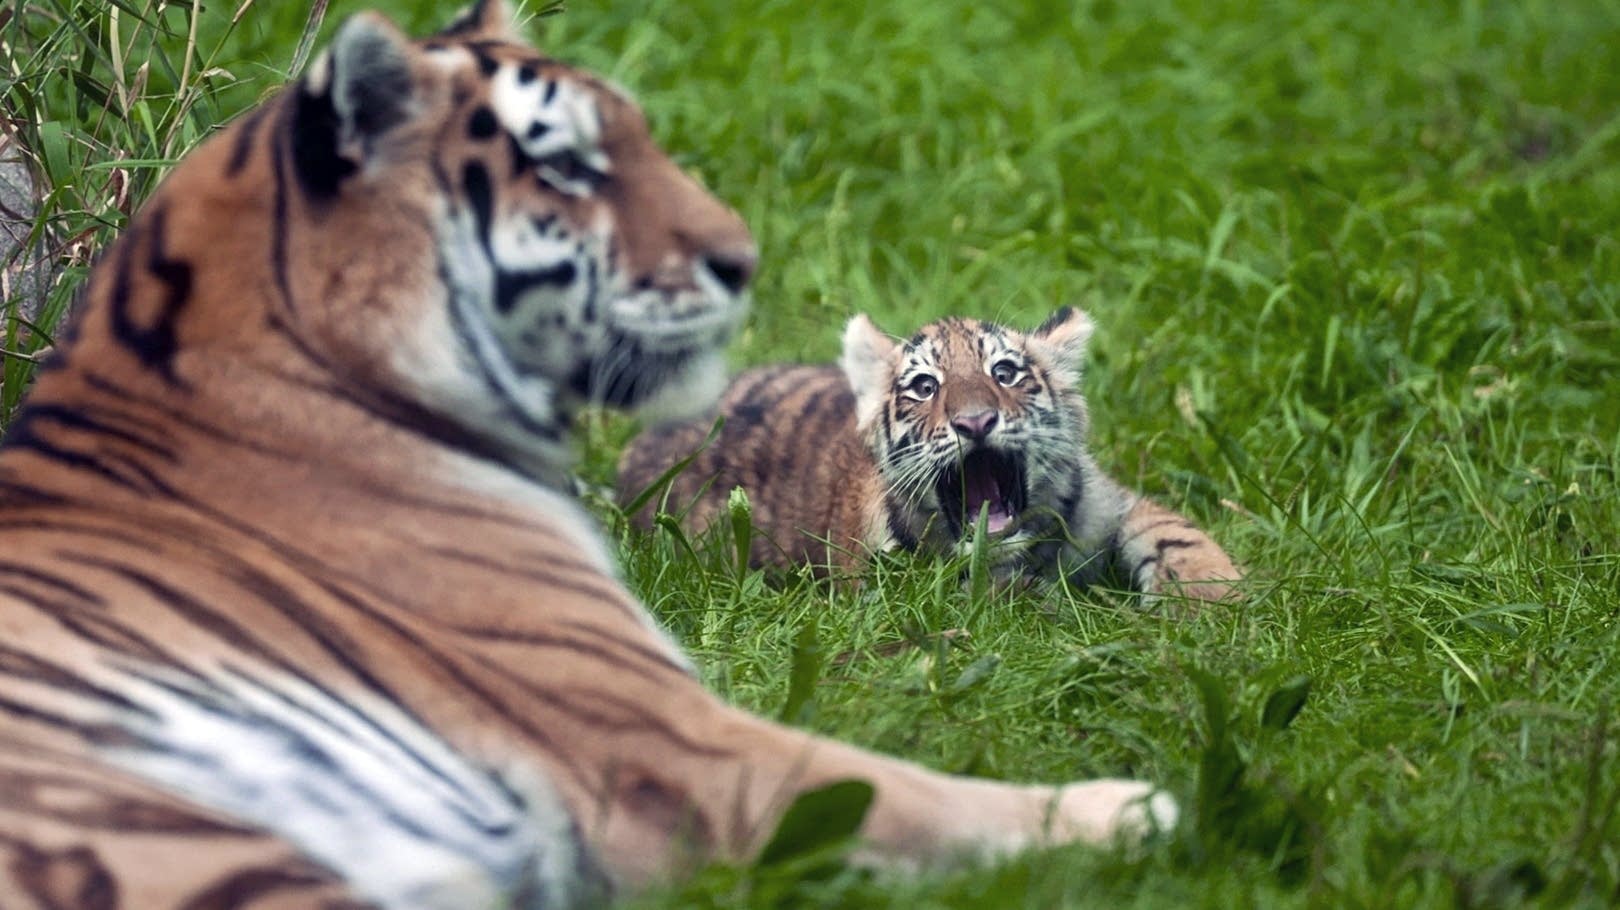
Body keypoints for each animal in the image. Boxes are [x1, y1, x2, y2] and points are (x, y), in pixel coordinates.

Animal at [0, 3, 1174, 907]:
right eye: (567, 165)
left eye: (1011, 376)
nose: (743, 259)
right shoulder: (662, 732)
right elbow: (913, 787)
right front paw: (1133, 807)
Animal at [618, 309, 1242, 603]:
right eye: (924, 387)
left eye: (1004, 373)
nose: (975, 422)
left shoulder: (1109, 500)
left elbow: (1176, 534)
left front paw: (1209, 604)